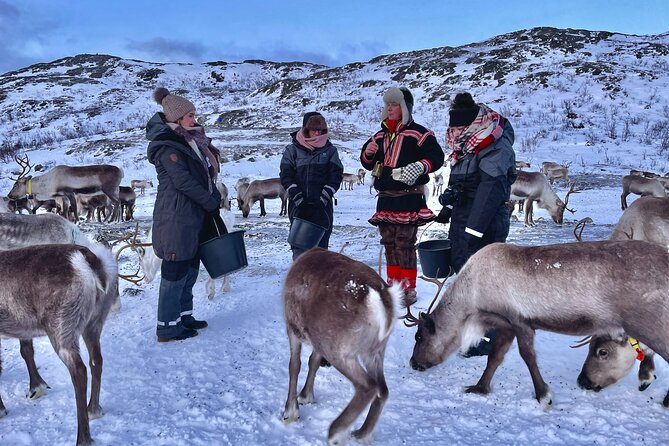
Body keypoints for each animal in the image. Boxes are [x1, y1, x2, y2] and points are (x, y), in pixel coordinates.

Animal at [281, 248, 403, 445]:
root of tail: (380, 297)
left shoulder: (293, 328)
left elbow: (294, 365)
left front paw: (290, 412)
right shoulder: (316, 340)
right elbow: (313, 362)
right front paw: (306, 395)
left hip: (339, 349)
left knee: (368, 386)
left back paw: (335, 433)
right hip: (375, 350)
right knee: (383, 389)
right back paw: (362, 433)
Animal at [408, 239, 669, 410]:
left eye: (419, 337)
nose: (413, 363)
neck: (473, 303)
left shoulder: (520, 321)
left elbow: (528, 357)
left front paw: (544, 396)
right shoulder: (505, 325)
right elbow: (494, 357)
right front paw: (479, 388)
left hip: (649, 322)